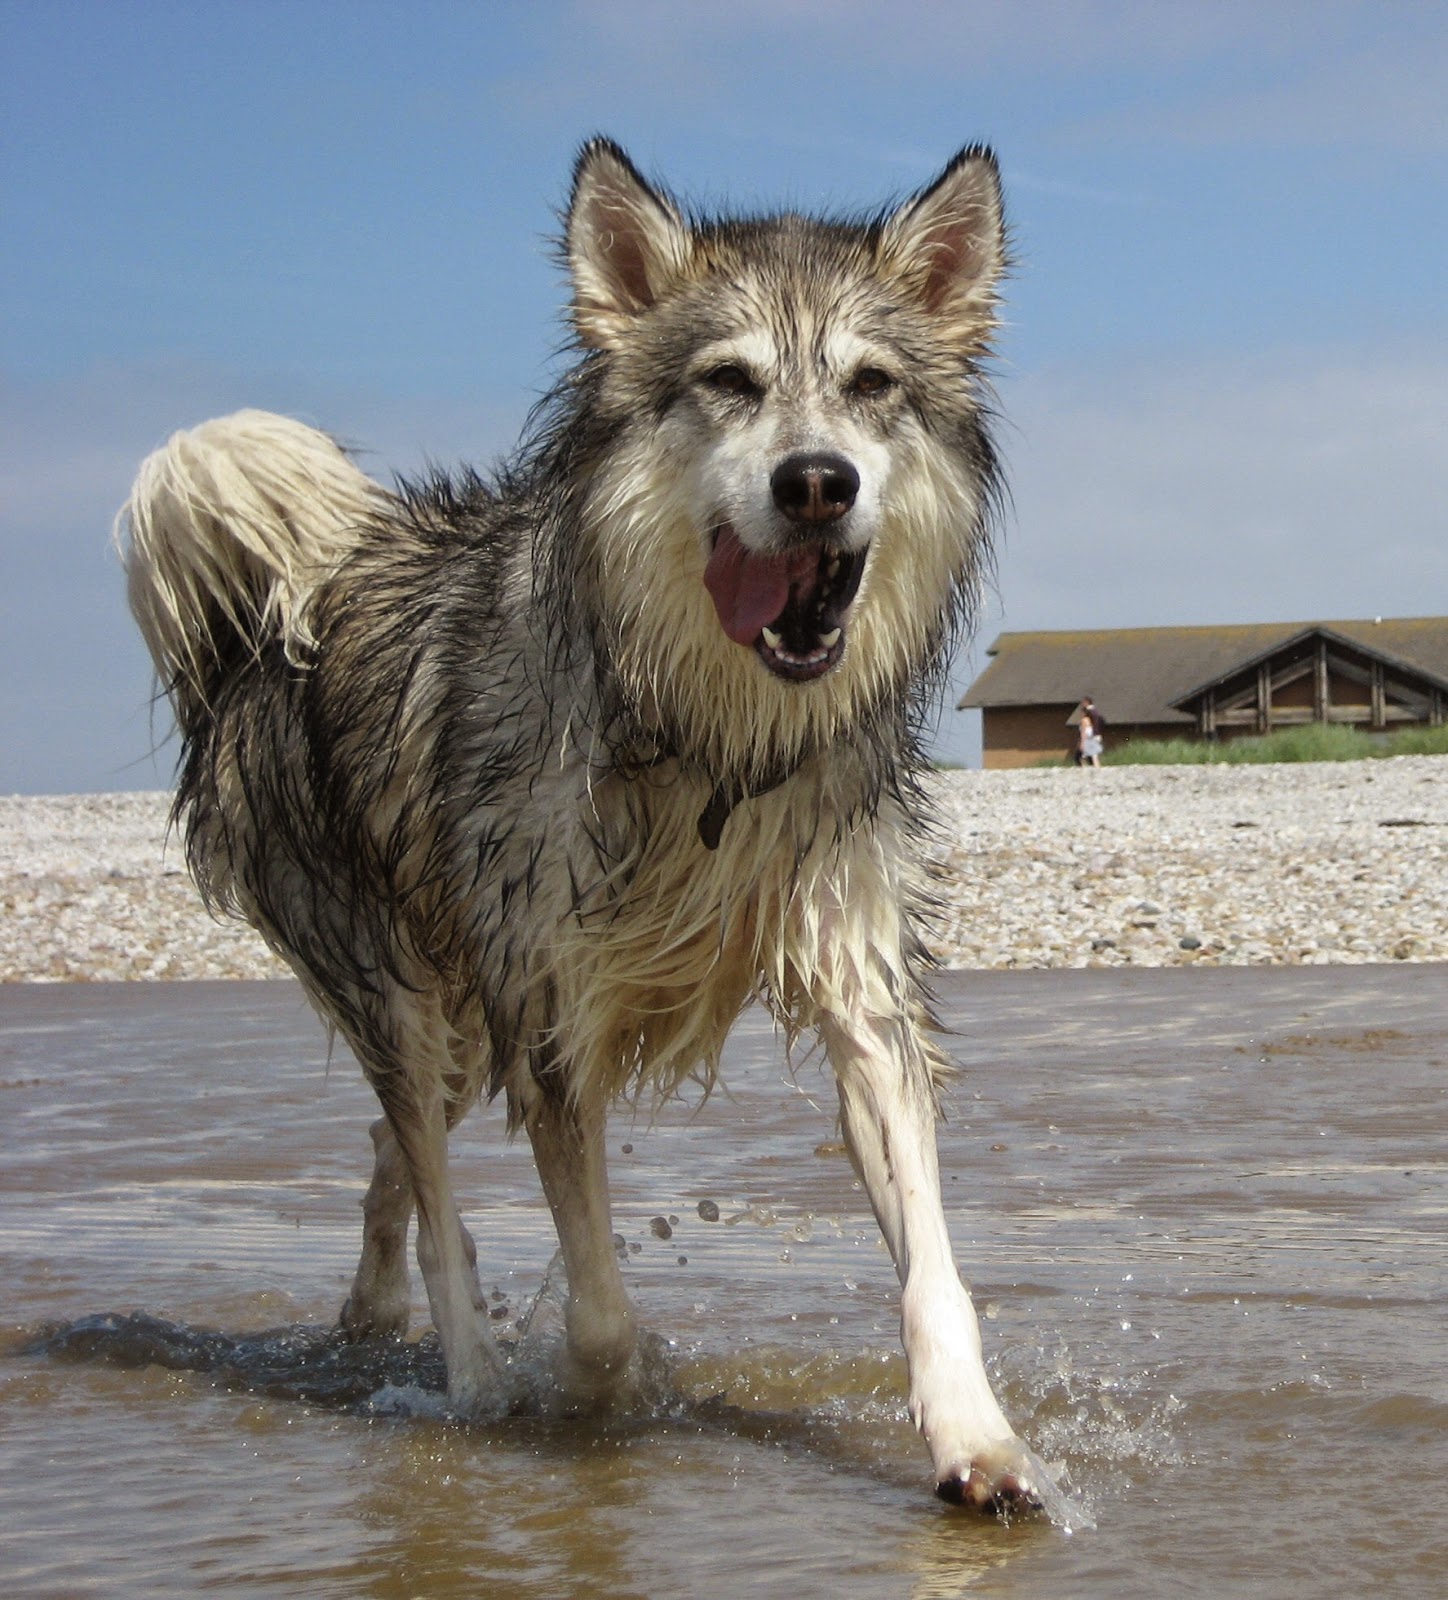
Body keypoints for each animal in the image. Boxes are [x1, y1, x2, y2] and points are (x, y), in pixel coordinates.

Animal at [118, 138, 1046, 1510]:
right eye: (728, 381)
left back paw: (366, 1316)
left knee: (390, 1161)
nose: (814, 481)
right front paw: (598, 1400)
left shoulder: (856, 978)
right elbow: (599, 1306)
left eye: (869, 385)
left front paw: (974, 1438)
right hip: (399, 994)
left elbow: (933, 1265)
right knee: (430, 1184)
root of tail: (254, 644)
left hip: (460, 1017)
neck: (703, 737)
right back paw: (470, 1381)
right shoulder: (550, 1019)